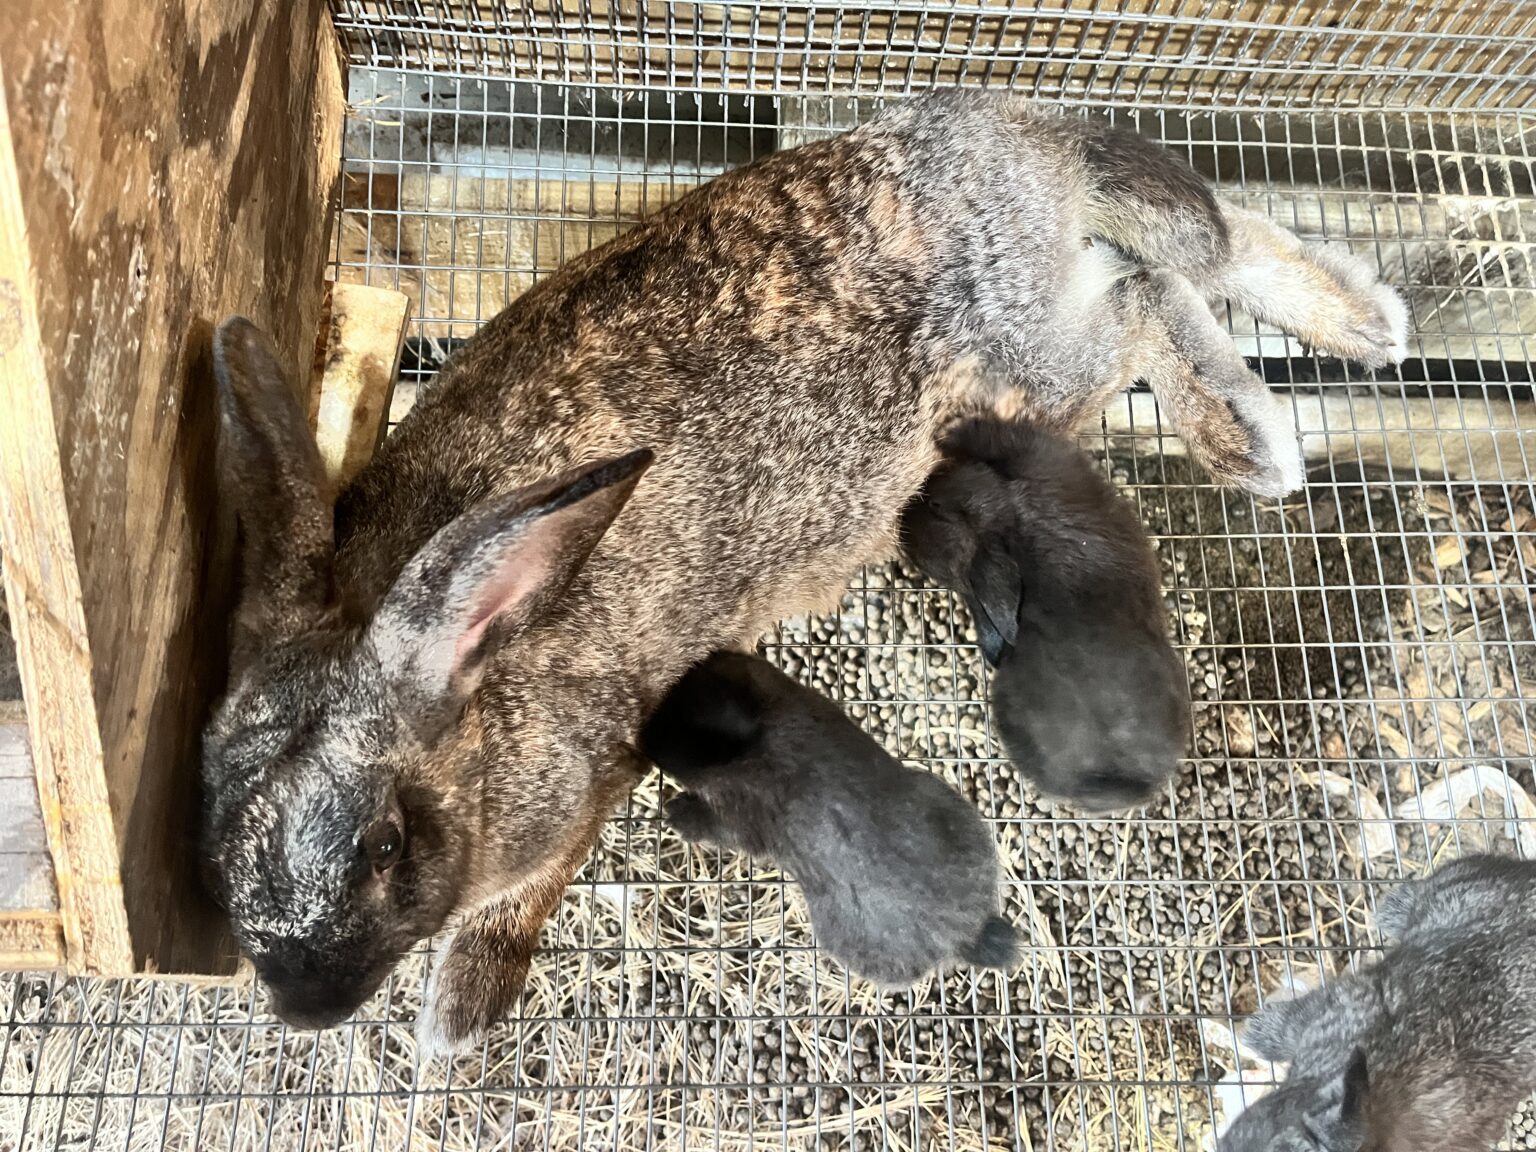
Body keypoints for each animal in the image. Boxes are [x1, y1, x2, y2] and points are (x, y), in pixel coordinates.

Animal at [640, 650, 1020, 985]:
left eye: (675, 738)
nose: (644, 736)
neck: (762, 742)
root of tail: (966, 933)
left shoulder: (736, 818)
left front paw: (677, 813)